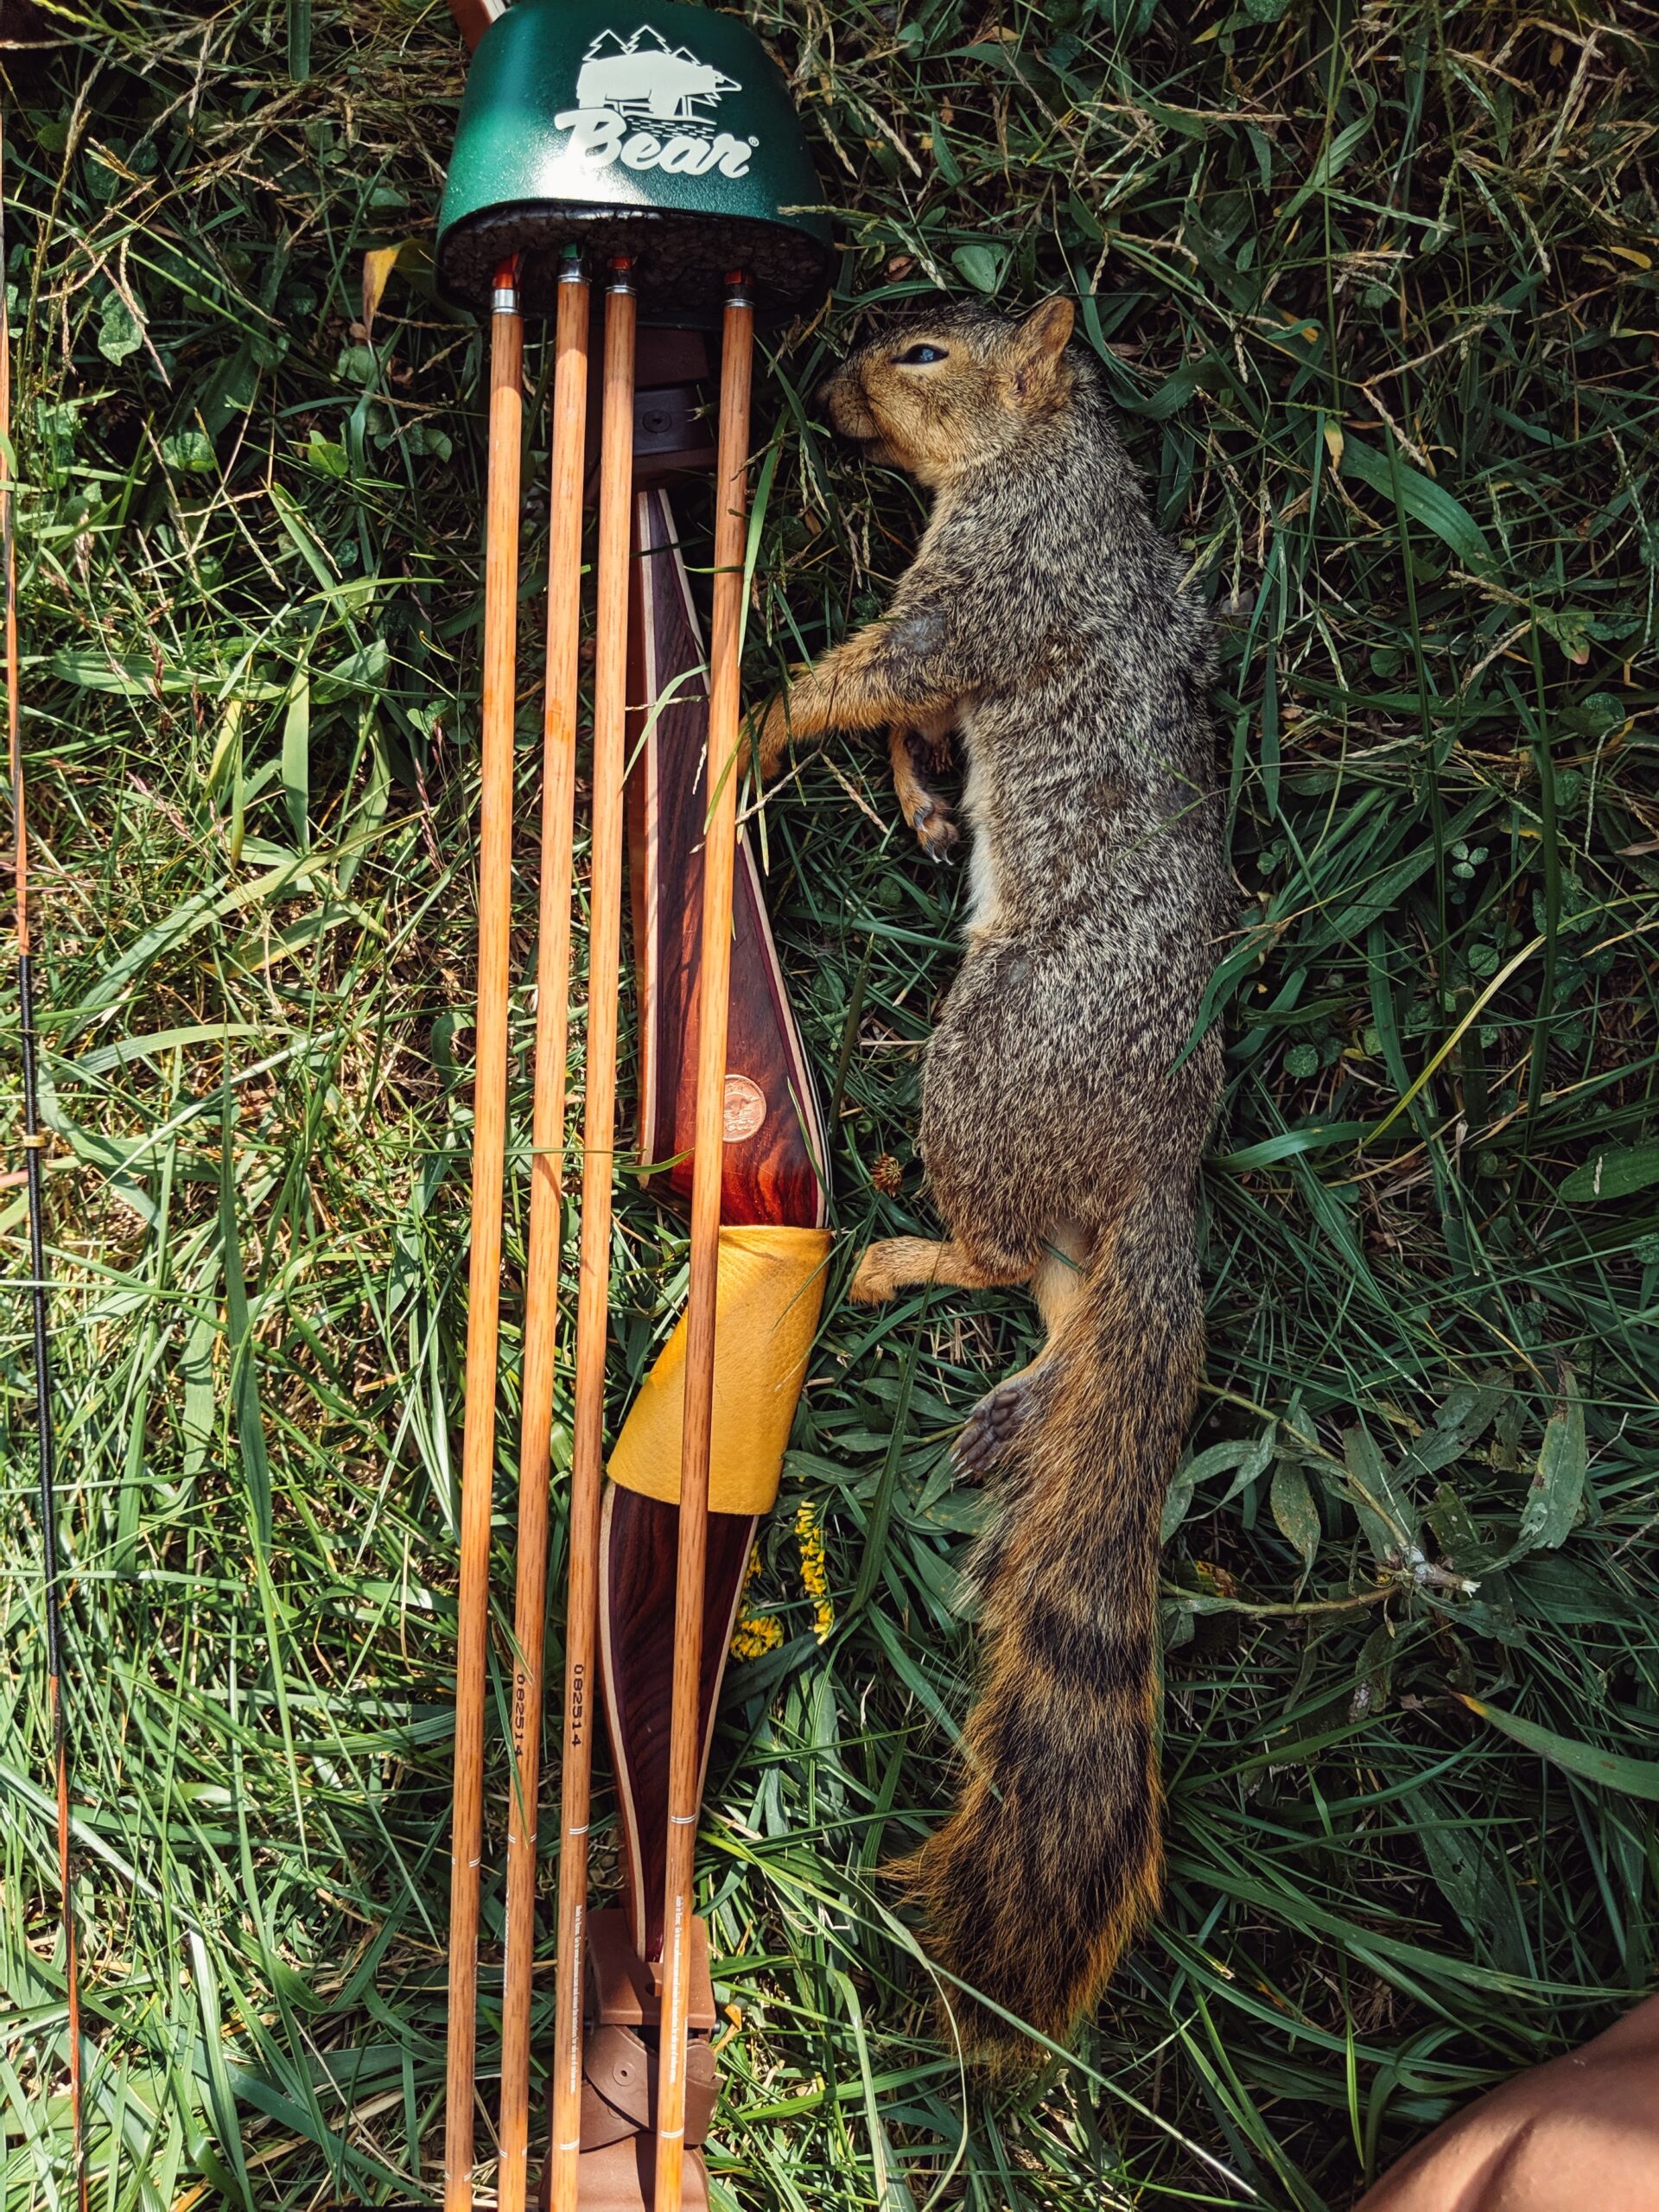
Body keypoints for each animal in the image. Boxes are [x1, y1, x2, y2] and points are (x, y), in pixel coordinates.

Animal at [756, 297, 1226, 2062]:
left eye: (922, 351)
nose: (819, 383)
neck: (1049, 462)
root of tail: (1159, 1169)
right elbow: (912, 724)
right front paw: (916, 799)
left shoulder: (995, 592)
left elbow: (876, 677)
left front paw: (745, 721)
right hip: (1052, 1201)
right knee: (1055, 1297)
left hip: (986, 1064)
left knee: (994, 1249)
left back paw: (892, 1261)